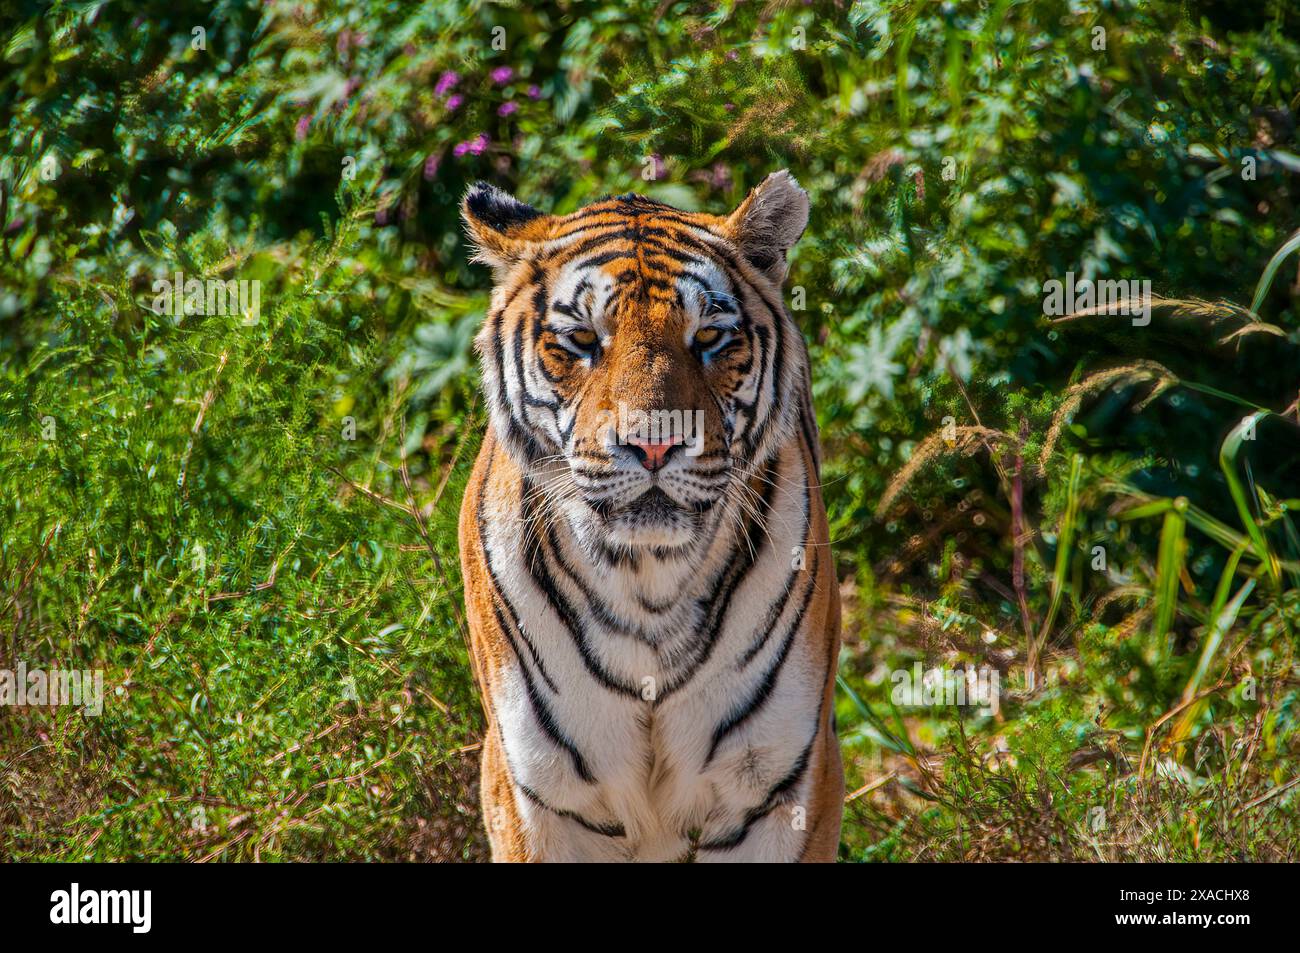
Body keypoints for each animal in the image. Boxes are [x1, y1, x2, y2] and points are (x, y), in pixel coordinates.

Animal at [457, 170, 843, 862]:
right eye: (583, 340)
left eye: (710, 338)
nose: (656, 442)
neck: (648, 581)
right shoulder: (535, 794)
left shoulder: (782, 785)